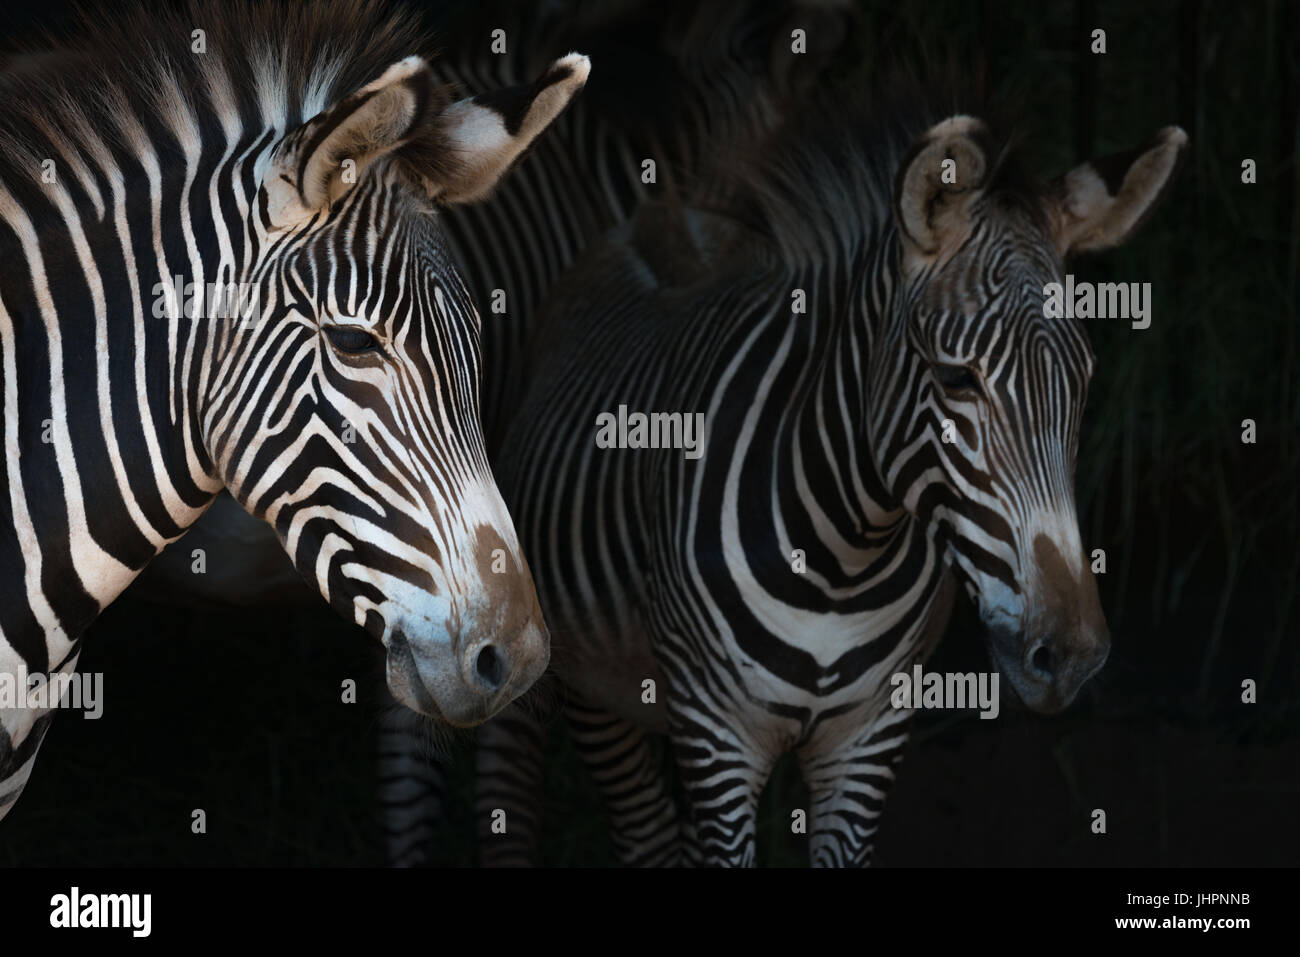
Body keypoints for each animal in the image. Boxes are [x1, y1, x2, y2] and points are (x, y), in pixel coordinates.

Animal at [488, 80, 1187, 865]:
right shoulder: (718, 737)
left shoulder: (868, 740)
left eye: (1084, 381)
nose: (1070, 655)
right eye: (956, 378)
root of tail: (655, 214)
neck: (840, 562)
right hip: (581, 687)